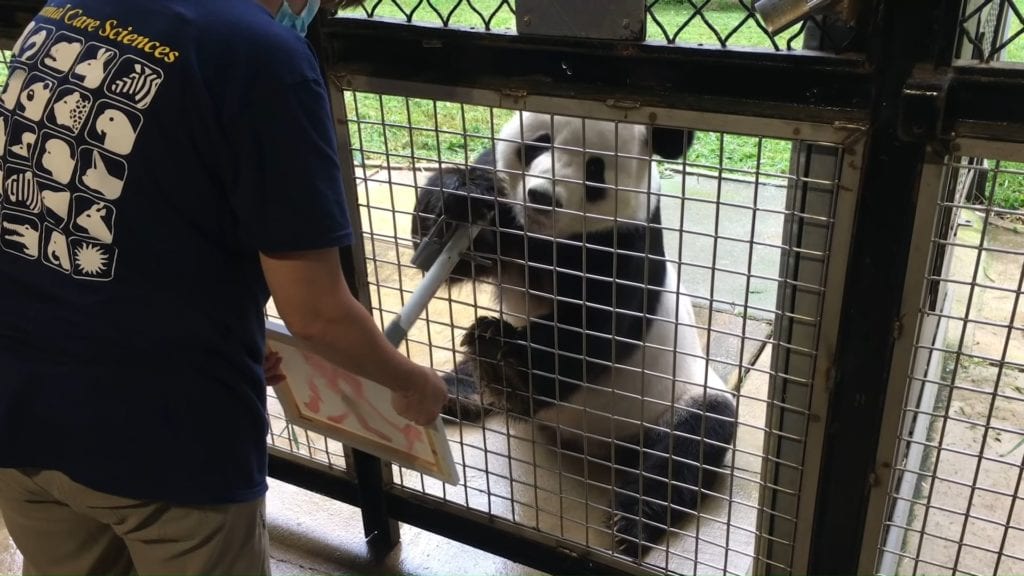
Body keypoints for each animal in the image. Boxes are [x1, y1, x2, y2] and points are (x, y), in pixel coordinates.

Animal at [409, 111, 737, 558]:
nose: (541, 196)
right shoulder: (510, 217)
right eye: (538, 143)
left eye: (595, 169)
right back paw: (460, 390)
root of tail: (599, 444)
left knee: (690, 443)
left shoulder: (624, 240)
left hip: (682, 391)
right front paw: (461, 196)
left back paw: (632, 521)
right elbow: (458, 252)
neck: (547, 235)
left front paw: (514, 360)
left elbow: (597, 328)